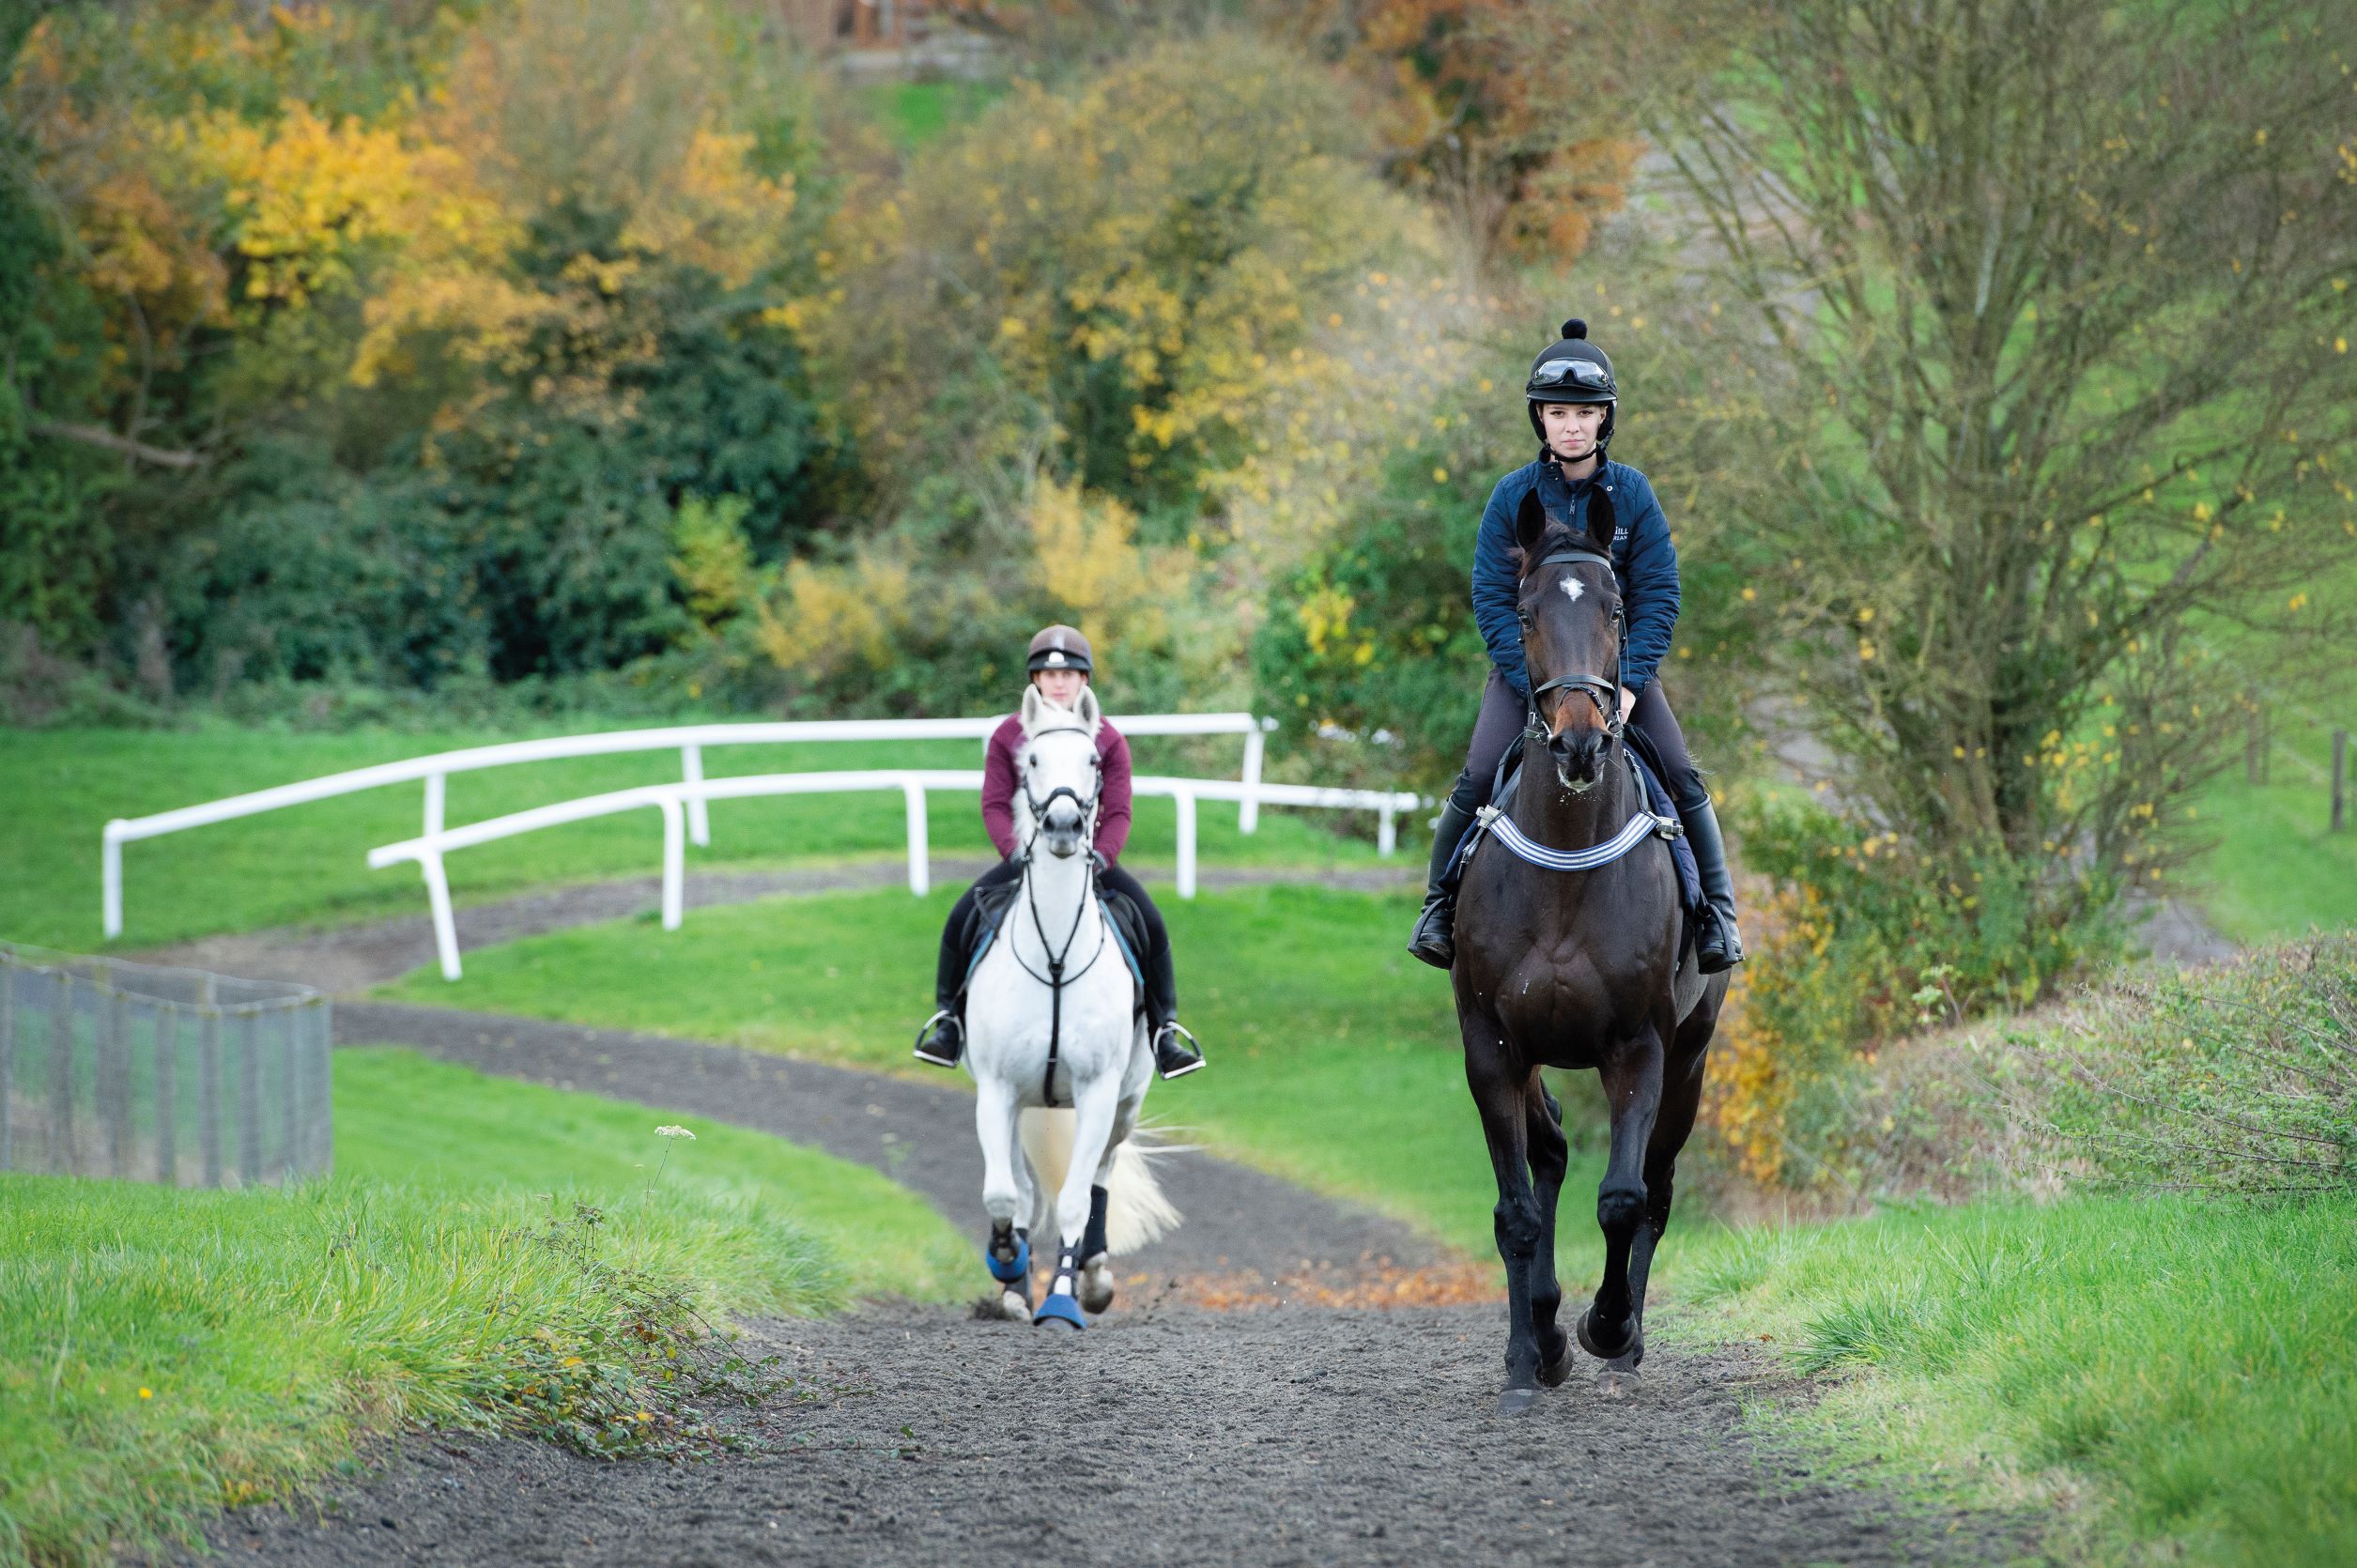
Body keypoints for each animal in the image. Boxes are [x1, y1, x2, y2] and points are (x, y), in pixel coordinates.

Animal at [963, 683, 1179, 1328]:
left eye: (1093, 761)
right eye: (1030, 760)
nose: (1062, 824)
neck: (1056, 954)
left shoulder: (1099, 1091)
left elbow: (1077, 1202)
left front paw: (1062, 1298)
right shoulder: (998, 1091)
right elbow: (1004, 1193)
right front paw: (1008, 1266)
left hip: (1124, 1103)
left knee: (1100, 1177)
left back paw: (1095, 1277)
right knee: (1024, 1187)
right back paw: (1014, 1286)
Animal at [1451, 491, 1729, 1411]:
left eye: (1613, 609)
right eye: (1526, 614)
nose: (1579, 742)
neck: (1566, 861)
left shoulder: (1639, 1047)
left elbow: (1622, 1199)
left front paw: (1606, 1327)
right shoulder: (1492, 1046)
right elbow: (1518, 1209)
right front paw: (1528, 1355)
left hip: (1692, 1058)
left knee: (1659, 1190)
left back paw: (1626, 1339)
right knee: (1550, 1157)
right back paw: (1537, 1337)